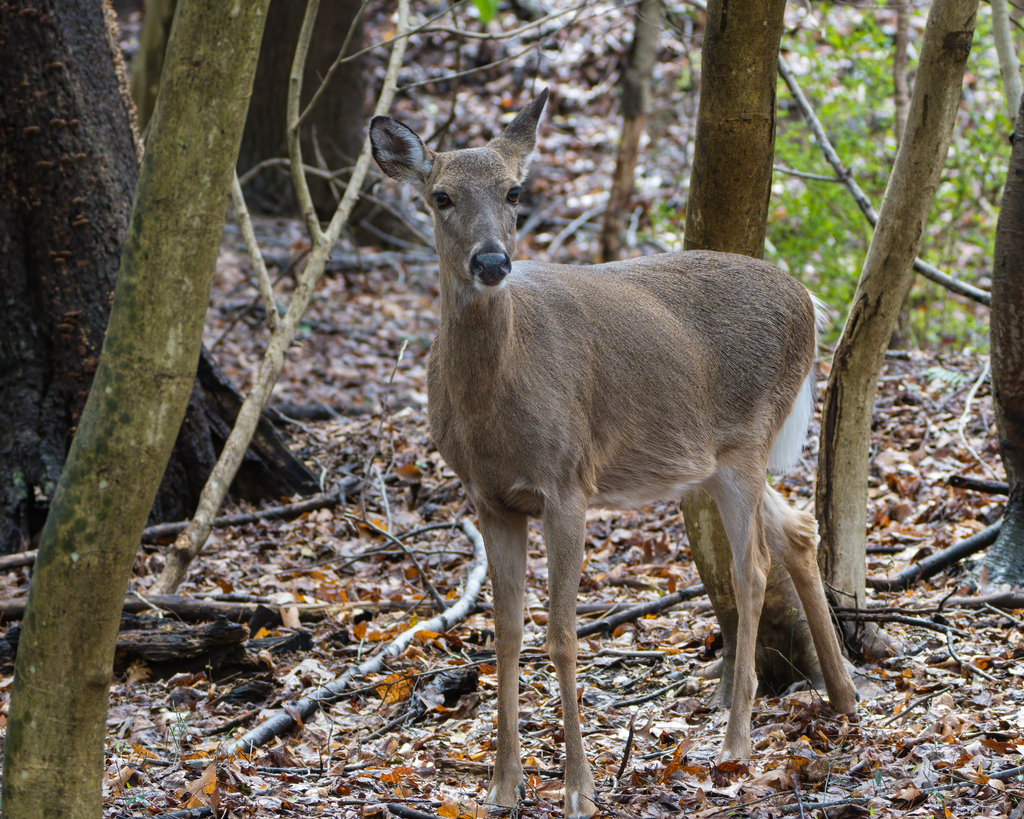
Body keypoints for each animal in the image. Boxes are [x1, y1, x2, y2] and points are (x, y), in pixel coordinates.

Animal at [369, 89, 857, 819]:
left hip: (747, 440)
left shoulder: (568, 483)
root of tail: (811, 303)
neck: (497, 402)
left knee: (752, 568)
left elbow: (563, 634)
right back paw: (844, 696)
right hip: (711, 460)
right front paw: (502, 786)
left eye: (515, 190)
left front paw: (579, 787)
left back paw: (737, 741)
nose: (491, 262)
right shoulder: (490, 497)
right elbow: (505, 634)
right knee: (797, 528)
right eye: (440, 196)